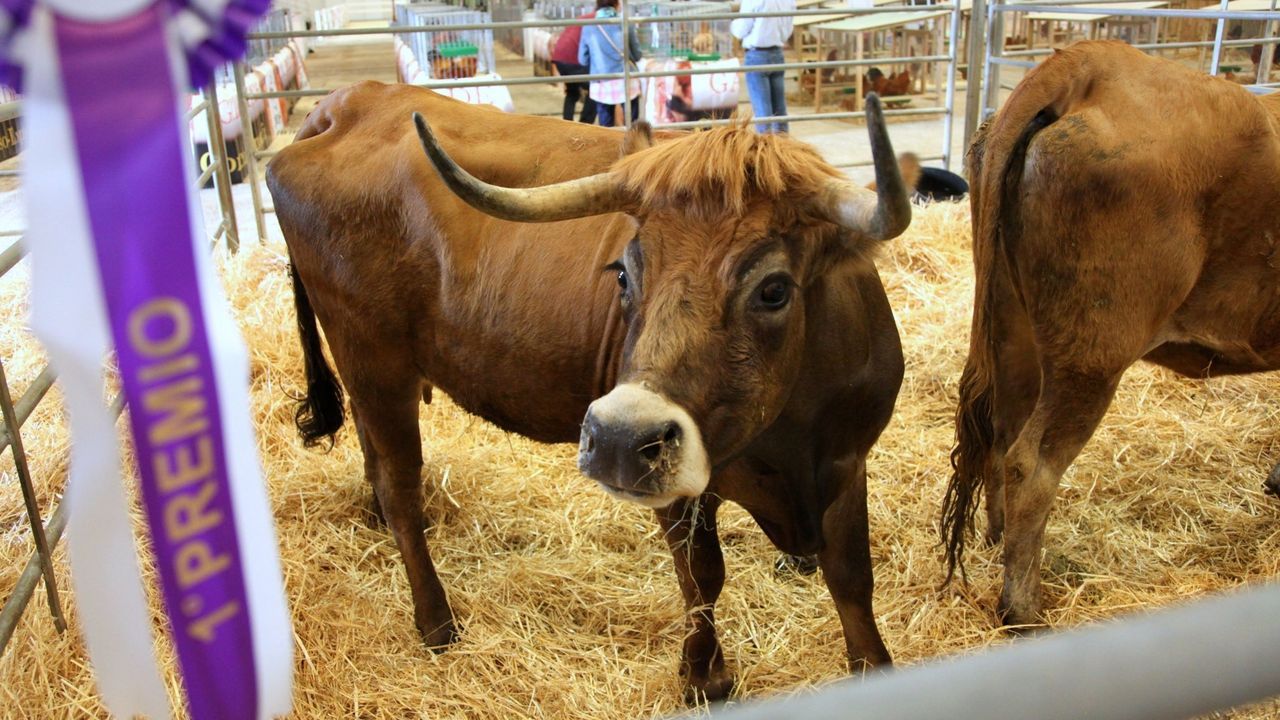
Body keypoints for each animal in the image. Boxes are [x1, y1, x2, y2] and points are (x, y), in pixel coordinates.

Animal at [266, 80, 911, 701]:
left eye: (774, 290)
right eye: (623, 273)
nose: (620, 438)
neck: (792, 443)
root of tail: (346, 103)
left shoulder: (848, 463)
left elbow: (852, 576)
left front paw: (872, 667)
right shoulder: (676, 487)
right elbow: (702, 573)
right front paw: (705, 677)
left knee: (376, 462)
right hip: (375, 361)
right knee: (400, 485)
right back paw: (436, 621)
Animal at [940, 41, 1280, 629]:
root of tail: (1089, 60)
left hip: (1014, 332)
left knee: (1003, 438)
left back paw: (998, 542)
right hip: (1092, 358)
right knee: (1032, 464)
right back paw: (1023, 610)